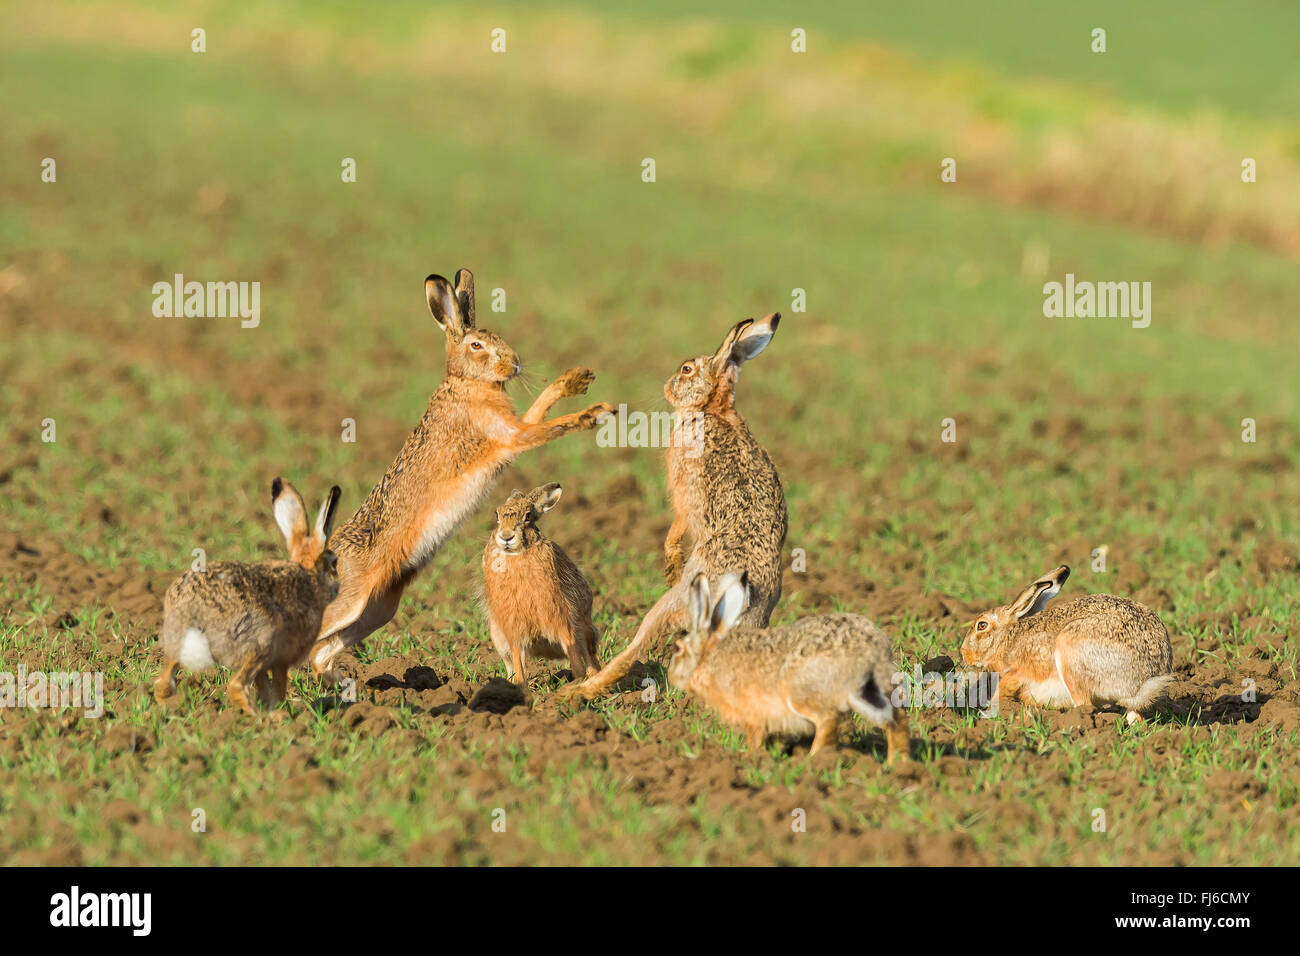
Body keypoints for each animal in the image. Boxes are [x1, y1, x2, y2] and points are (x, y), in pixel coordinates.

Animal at [154, 478, 341, 714]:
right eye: (334, 563)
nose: (339, 585)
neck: (310, 577)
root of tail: (193, 611)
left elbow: (264, 687)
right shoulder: (282, 658)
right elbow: (278, 686)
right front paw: (281, 712)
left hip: (176, 646)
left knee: (163, 684)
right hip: (261, 643)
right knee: (236, 686)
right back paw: (260, 717)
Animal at [481, 483, 601, 695]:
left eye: (528, 516)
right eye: (497, 515)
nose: (506, 537)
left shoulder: (560, 615)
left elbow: (572, 651)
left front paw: (576, 682)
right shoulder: (512, 626)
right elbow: (518, 659)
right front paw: (521, 688)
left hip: (584, 629)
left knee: (588, 657)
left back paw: (592, 679)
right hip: (497, 637)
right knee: (510, 664)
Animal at [565, 313, 787, 700]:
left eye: (686, 369)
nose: (668, 385)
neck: (710, 409)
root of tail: (739, 597)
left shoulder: (685, 495)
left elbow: (677, 526)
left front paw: (670, 564)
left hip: (674, 602)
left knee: (634, 648)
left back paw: (581, 691)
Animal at [667, 573, 910, 762]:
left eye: (677, 648)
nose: (670, 676)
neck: (707, 658)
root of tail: (872, 654)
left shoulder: (753, 715)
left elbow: (755, 738)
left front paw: (752, 758)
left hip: (801, 693)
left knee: (827, 722)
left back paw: (813, 761)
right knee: (895, 721)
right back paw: (897, 765)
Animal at [960, 565, 1174, 724]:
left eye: (981, 625)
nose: (962, 653)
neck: (1006, 638)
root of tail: (1144, 680)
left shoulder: (1020, 670)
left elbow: (1004, 686)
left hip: (1071, 657)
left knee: (1085, 705)